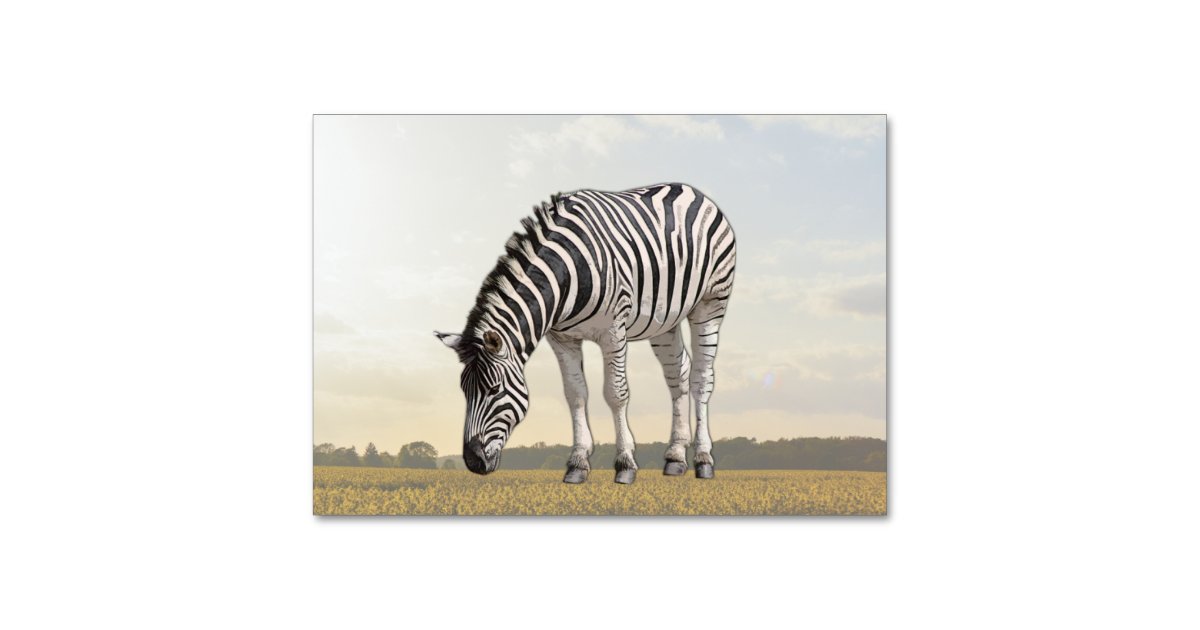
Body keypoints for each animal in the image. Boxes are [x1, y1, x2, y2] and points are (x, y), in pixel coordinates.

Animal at [435, 183, 736, 484]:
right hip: (665, 319)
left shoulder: (614, 330)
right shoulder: (562, 338)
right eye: (464, 389)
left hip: (711, 302)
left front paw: (625, 463)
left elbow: (616, 393)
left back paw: (703, 459)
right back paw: (675, 456)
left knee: (701, 378)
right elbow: (575, 394)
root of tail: (689, 189)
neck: (566, 273)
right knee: (678, 374)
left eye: (494, 389)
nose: (473, 462)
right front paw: (578, 463)